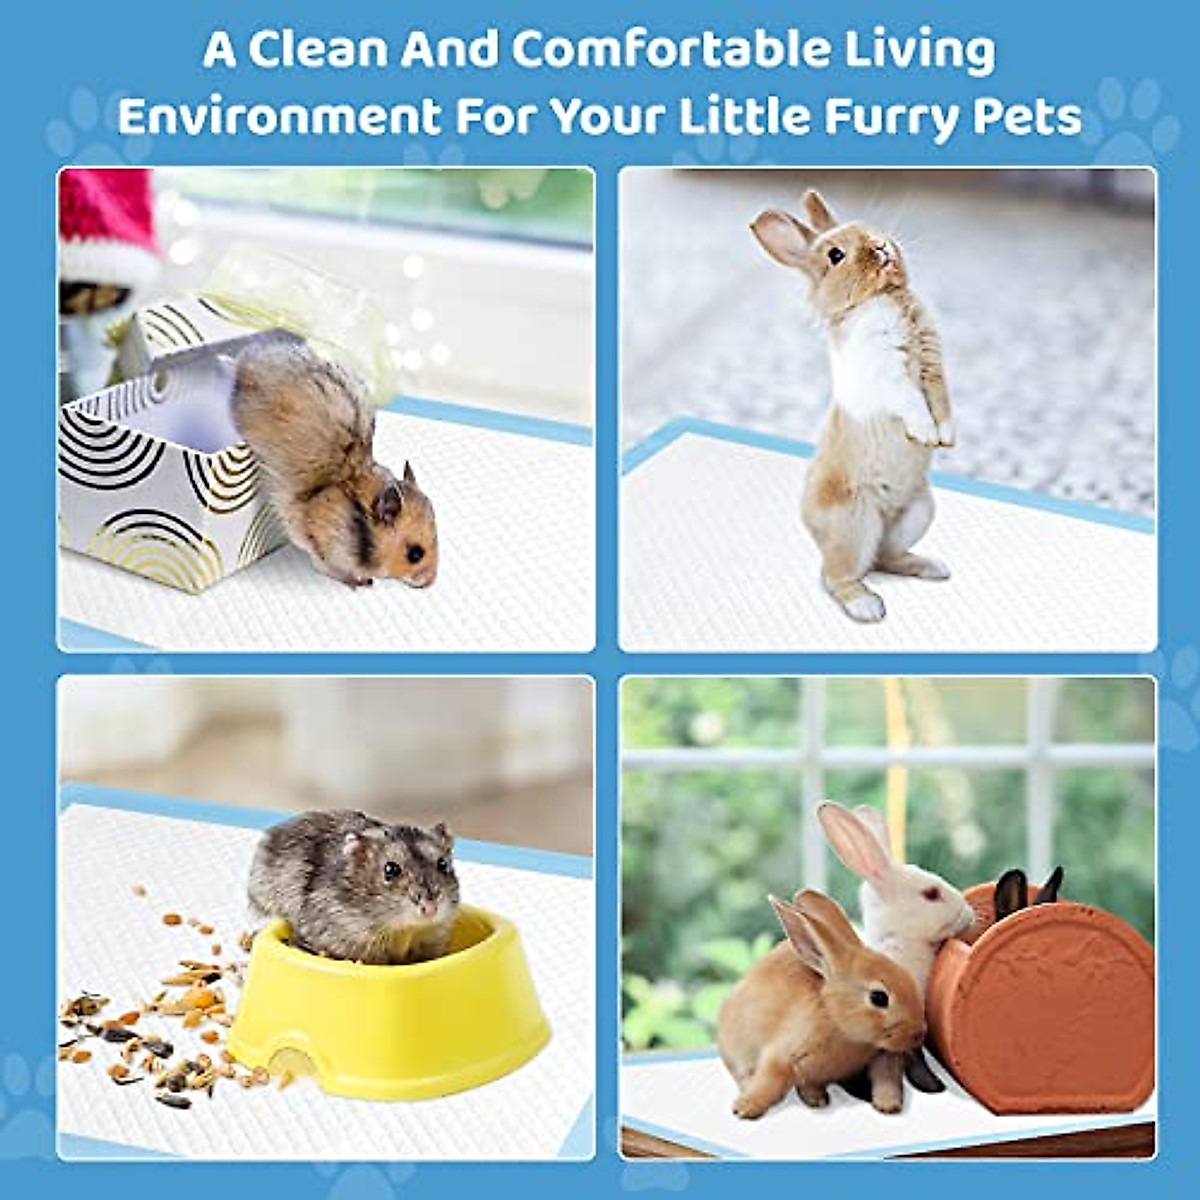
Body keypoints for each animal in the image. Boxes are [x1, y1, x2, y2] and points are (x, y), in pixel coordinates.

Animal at [717, 889, 926, 1118]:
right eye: (879, 998)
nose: (919, 1034)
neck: (835, 1018)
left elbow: (886, 1080)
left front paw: (888, 1105)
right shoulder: (783, 1054)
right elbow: (768, 1082)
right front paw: (745, 1108)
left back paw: (816, 1098)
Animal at [750, 190, 954, 623]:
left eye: (867, 228)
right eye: (836, 255)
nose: (881, 246)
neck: (879, 299)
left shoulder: (934, 365)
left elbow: (940, 399)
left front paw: (945, 438)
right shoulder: (888, 377)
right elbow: (912, 399)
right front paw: (925, 433)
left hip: (919, 511)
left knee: (885, 558)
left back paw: (932, 567)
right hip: (855, 527)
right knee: (838, 575)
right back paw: (868, 606)